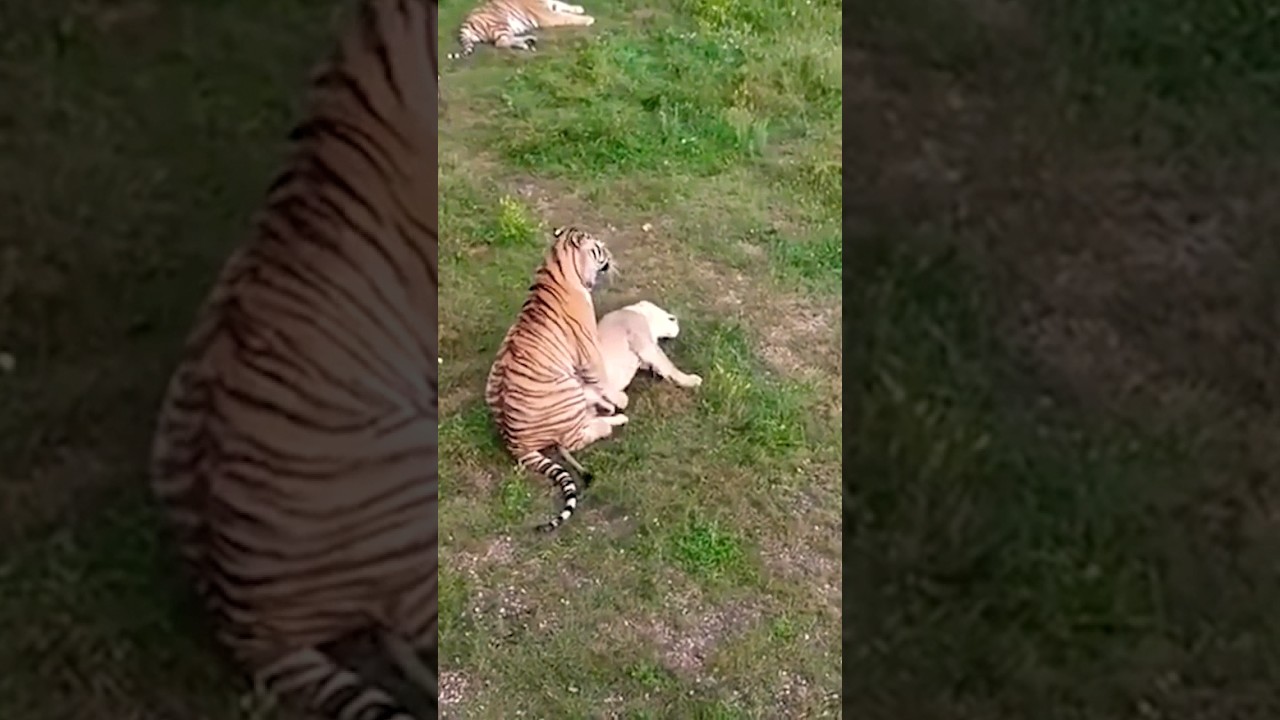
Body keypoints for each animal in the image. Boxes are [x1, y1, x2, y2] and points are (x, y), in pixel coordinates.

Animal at [447, 0, 596, 60]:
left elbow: (562, 4)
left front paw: (578, 8)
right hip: (499, 21)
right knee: (501, 42)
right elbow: (566, 16)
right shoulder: (547, 16)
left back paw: (528, 40)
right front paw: (588, 18)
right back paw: (524, 43)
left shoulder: (550, 4)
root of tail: (465, 24)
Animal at [484, 226, 629, 533]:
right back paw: (614, 419)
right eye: (600, 249)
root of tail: (515, 444)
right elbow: (601, 375)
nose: (611, 256)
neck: (556, 264)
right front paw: (619, 398)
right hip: (568, 395)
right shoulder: (589, 349)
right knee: (576, 438)